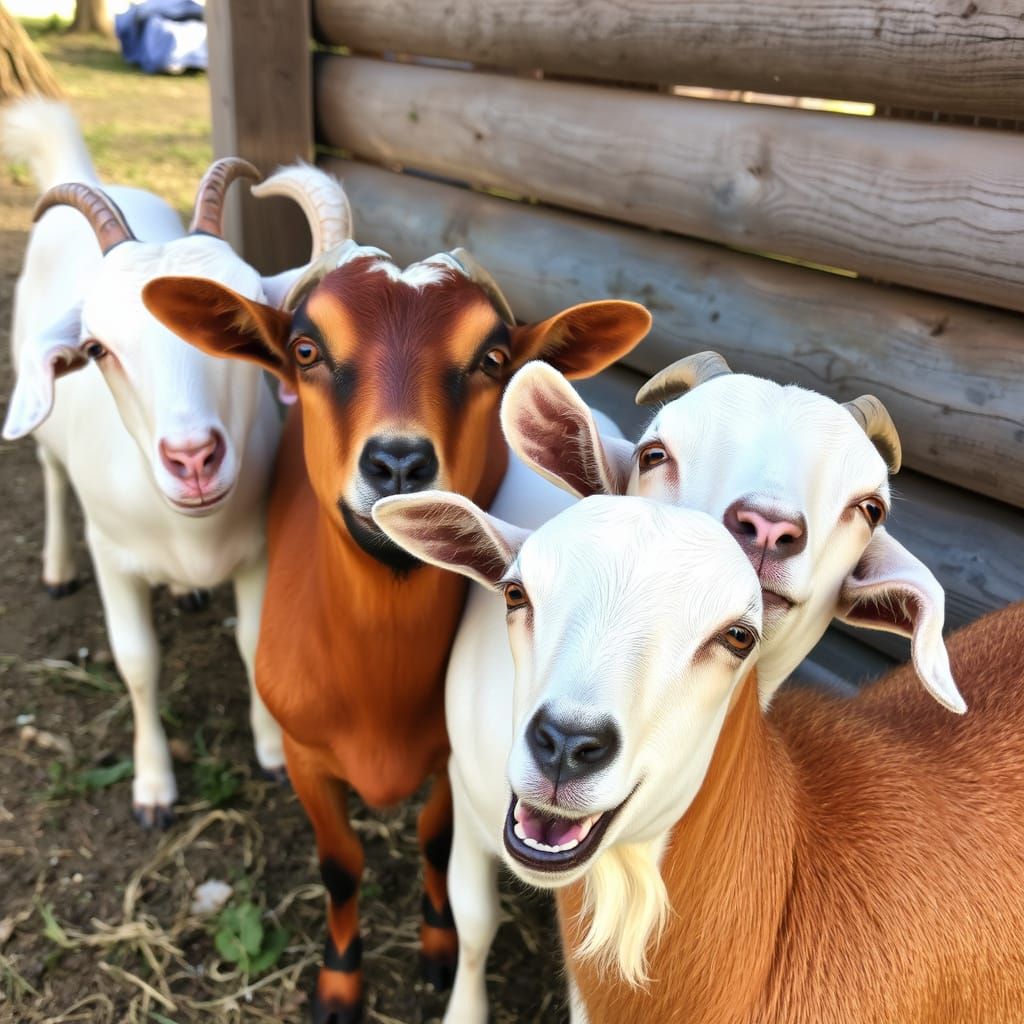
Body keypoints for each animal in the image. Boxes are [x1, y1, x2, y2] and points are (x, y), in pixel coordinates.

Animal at [2, 100, 350, 827]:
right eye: (97, 348)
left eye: (247, 331)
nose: (193, 459)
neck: (189, 532)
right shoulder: (112, 555)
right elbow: (137, 662)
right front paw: (154, 786)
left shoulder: (257, 550)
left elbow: (253, 642)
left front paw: (271, 754)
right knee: (50, 476)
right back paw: (56, 568)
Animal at [140, 237, 651, 1022]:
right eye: (307, 349)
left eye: (492, 358)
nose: (400, 463)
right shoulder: (307, 757)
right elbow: (341, 866)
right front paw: (339, 982)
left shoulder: (447, 757)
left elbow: (433, 842)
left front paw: (439, 945)